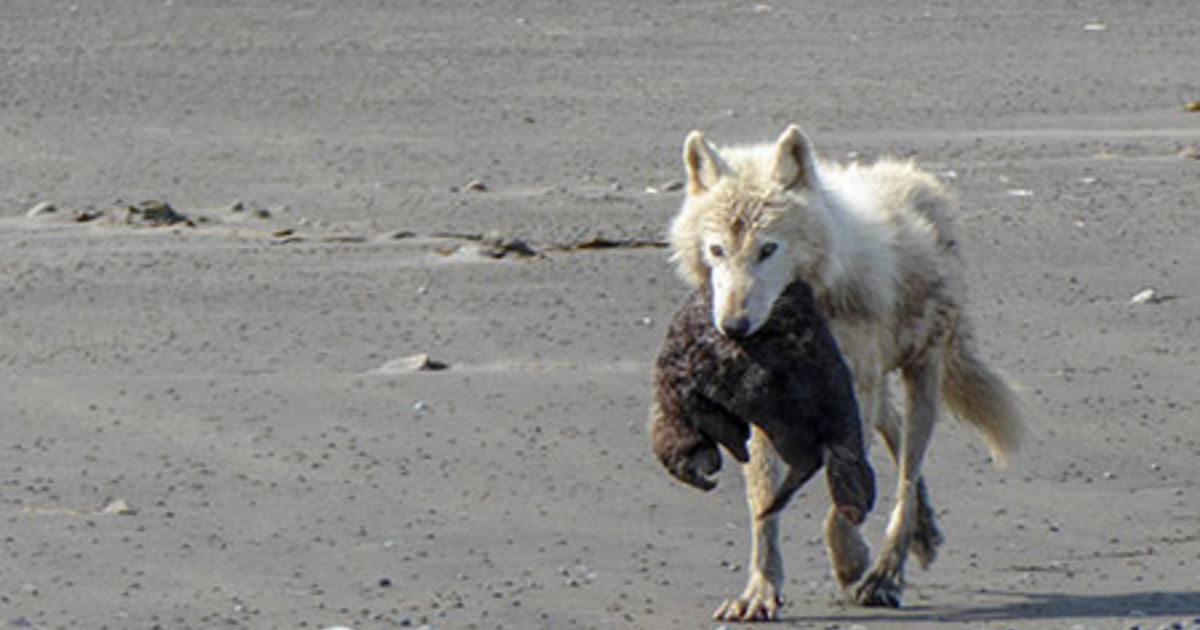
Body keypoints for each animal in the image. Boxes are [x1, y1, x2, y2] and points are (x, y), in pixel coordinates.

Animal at [667, 124, 1025, 620]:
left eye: (768, 249)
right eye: (717, 250)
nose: (734, 327)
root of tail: (916, 179)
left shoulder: (855, 391)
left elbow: (845, 494)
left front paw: (851, 561)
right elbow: (763, 508)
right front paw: (760, 590)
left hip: (922, 375)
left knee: (906, 475)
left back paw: (886, 573)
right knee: (897, 441)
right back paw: (924, 535)